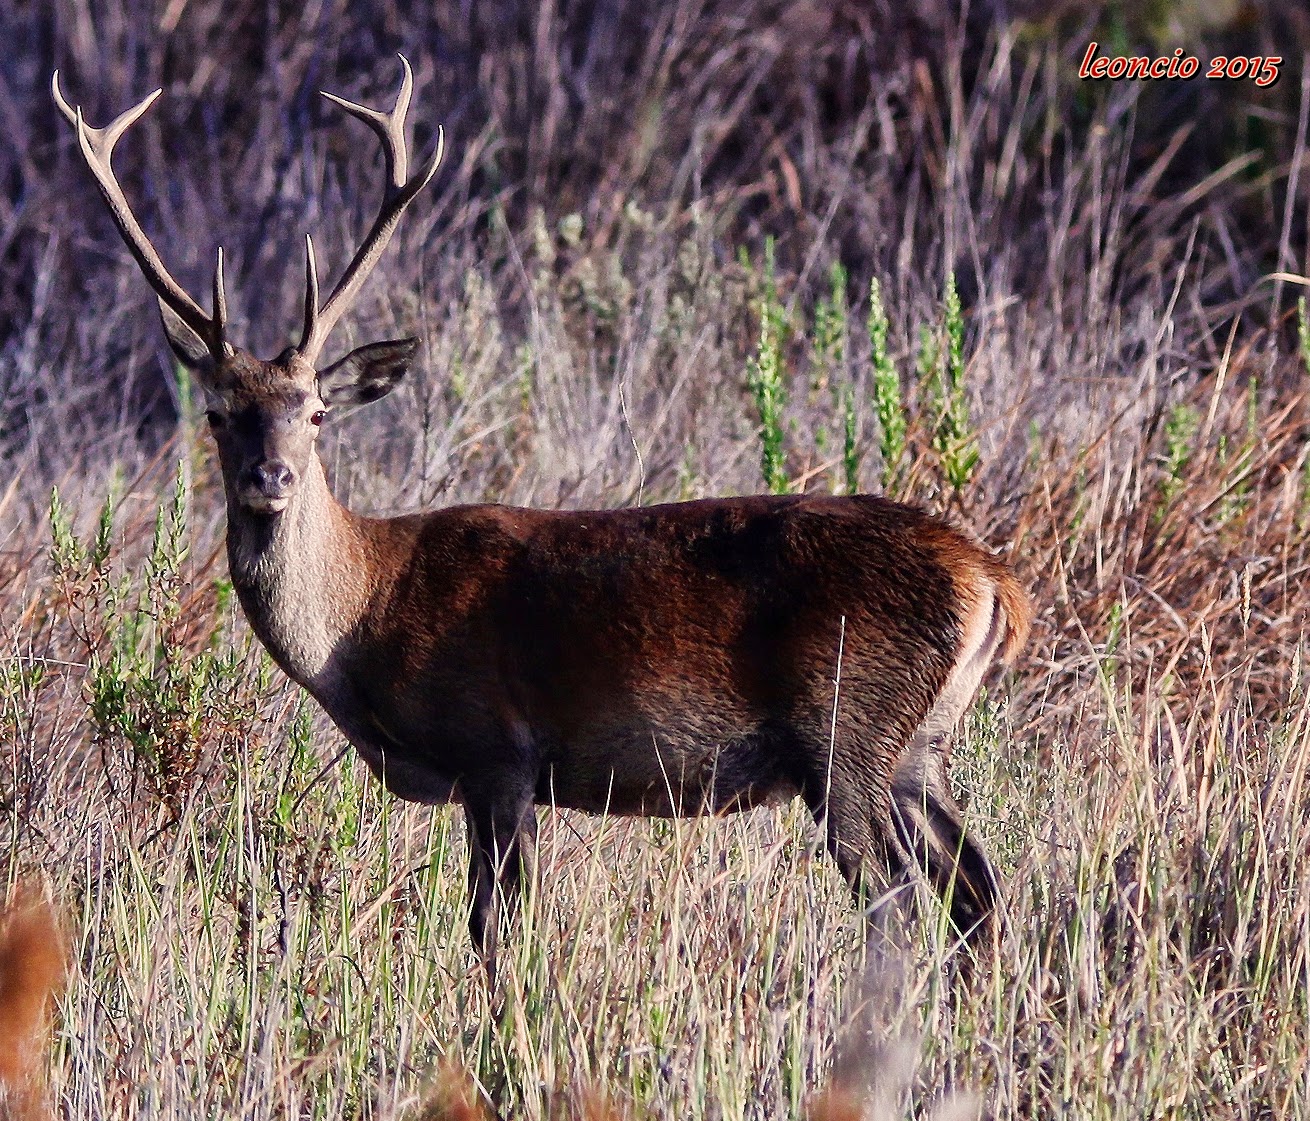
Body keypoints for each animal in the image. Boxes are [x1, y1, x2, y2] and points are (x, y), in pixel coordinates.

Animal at [53, 57, 1032, 979]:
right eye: (220, 413)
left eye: (318, 411)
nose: (271, 475)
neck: (365, 616)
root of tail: (993, 580)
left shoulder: (497, 749)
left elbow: (493, 932)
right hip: (917, 746)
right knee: (978, 888)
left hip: (846, 727)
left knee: (899, 904)